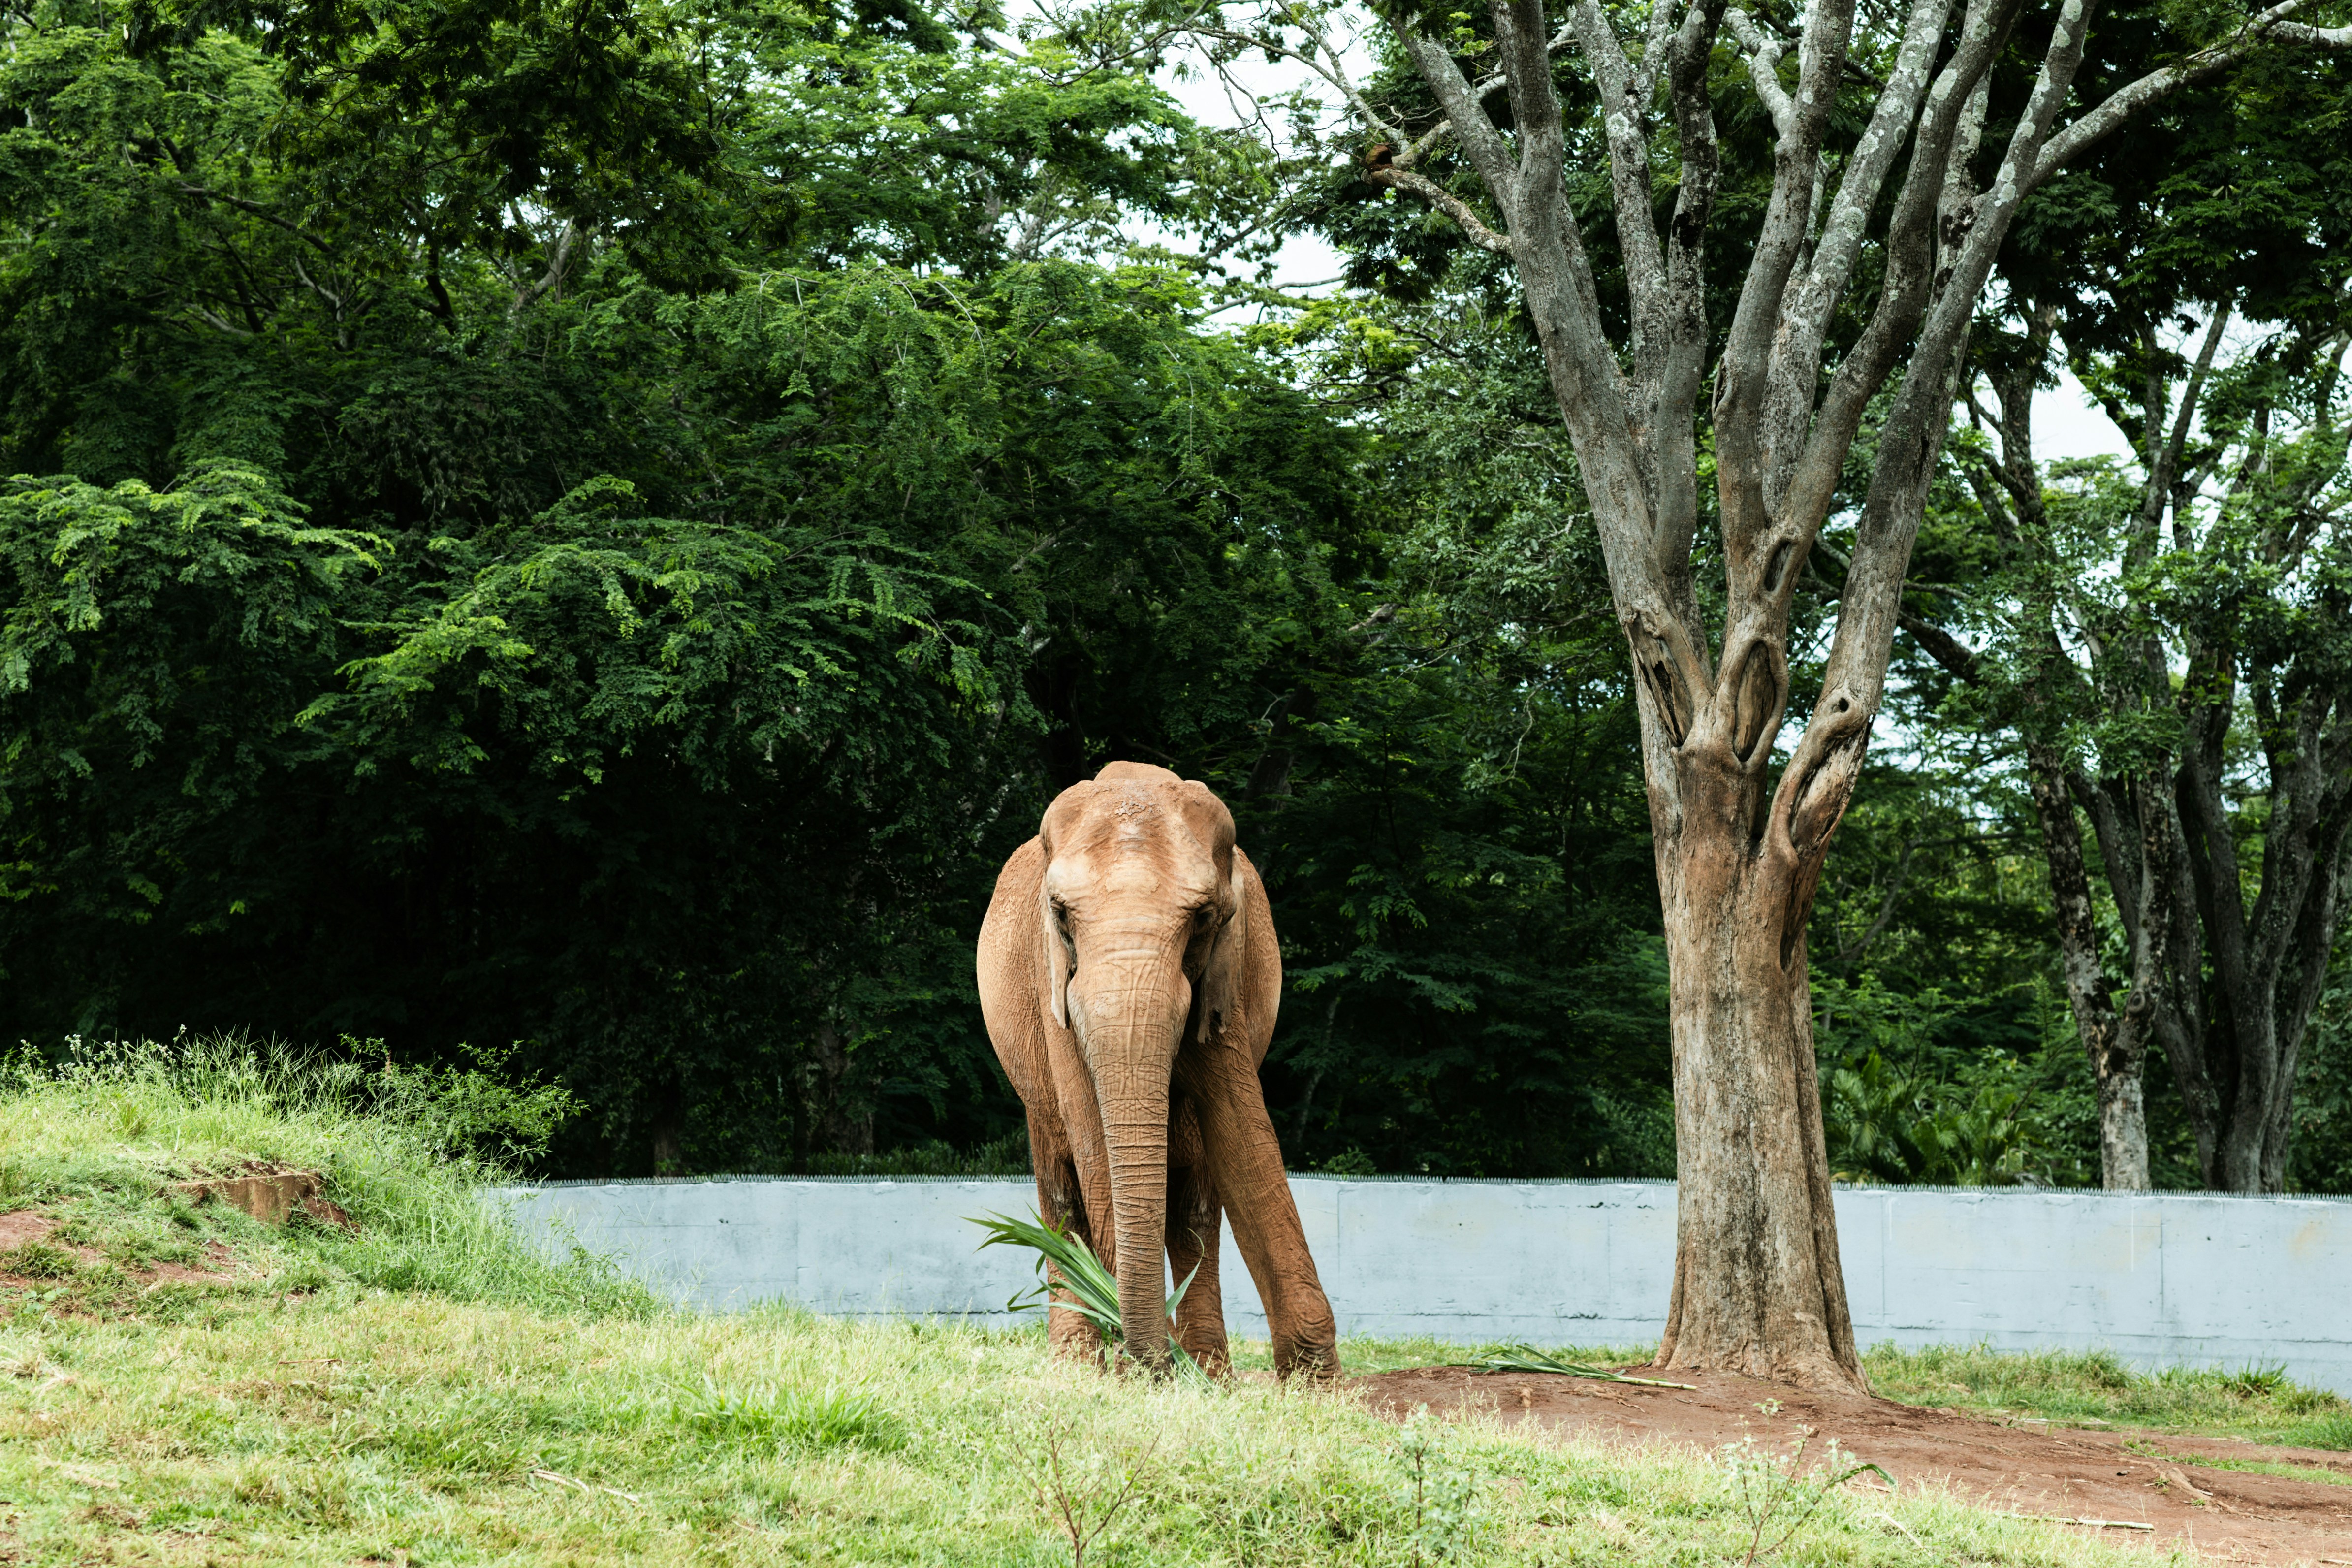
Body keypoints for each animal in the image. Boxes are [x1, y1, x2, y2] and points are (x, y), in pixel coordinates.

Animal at [976, 761, 1340, 1380]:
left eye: (1203, 916)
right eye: (1060, 913)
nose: (1154, 1362)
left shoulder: (1226, 967)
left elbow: (1241, 1129)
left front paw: (1316, 1382)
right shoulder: (1052, 987)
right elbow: (1093, 1142)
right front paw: (1133, 1375)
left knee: (1196, 1204)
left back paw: (1208, 1369)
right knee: (1060, 1190)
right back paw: (1081, 1365)